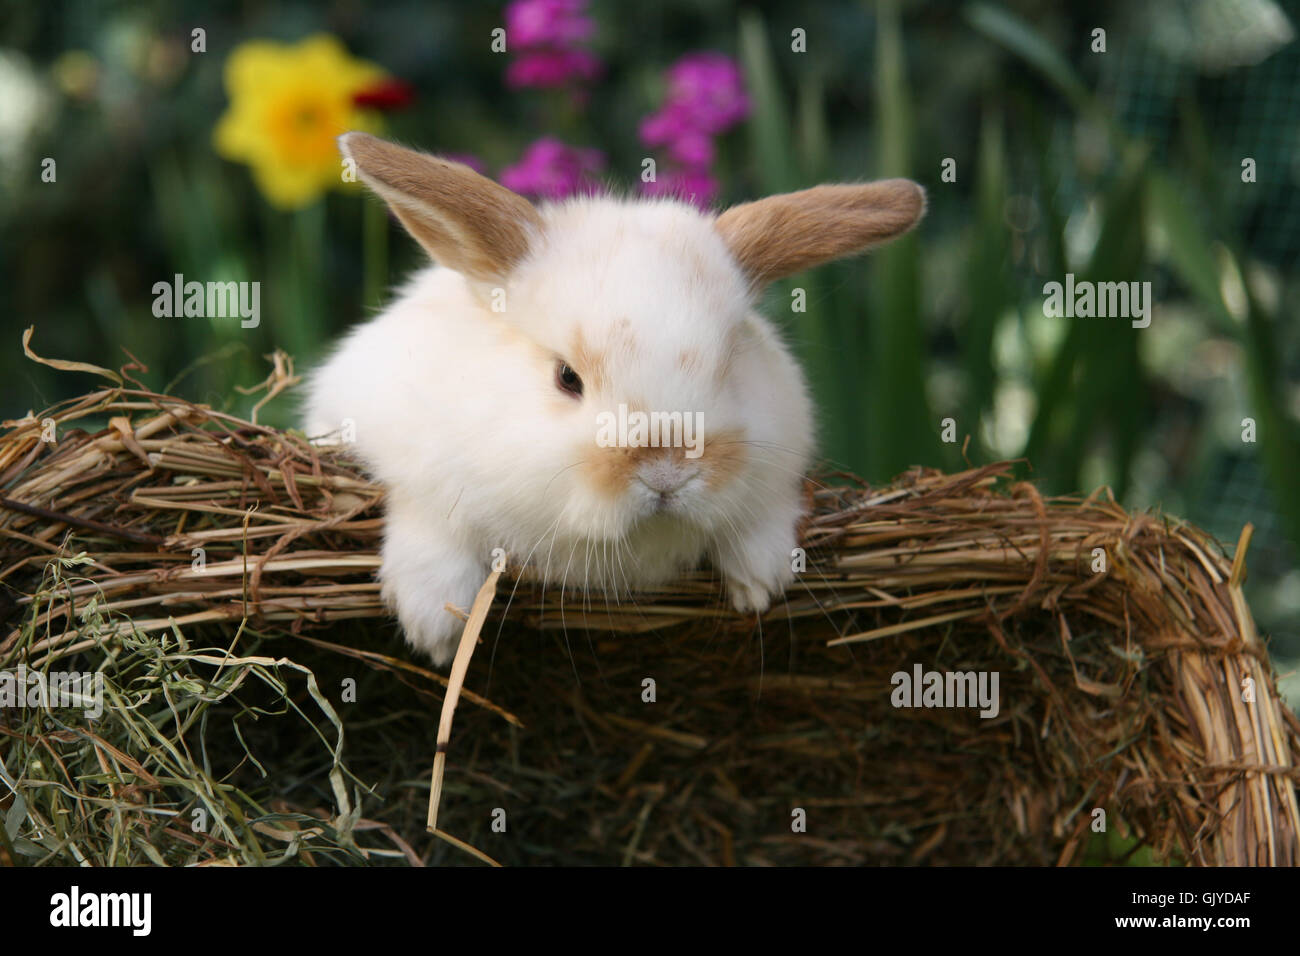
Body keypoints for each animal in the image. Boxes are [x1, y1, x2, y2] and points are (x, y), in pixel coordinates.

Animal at [304, 132, 924, 666]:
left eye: (730, 362)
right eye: (567, 378)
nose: (668, 474)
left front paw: (760, 581)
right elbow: (428, 521)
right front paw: (436, 626)